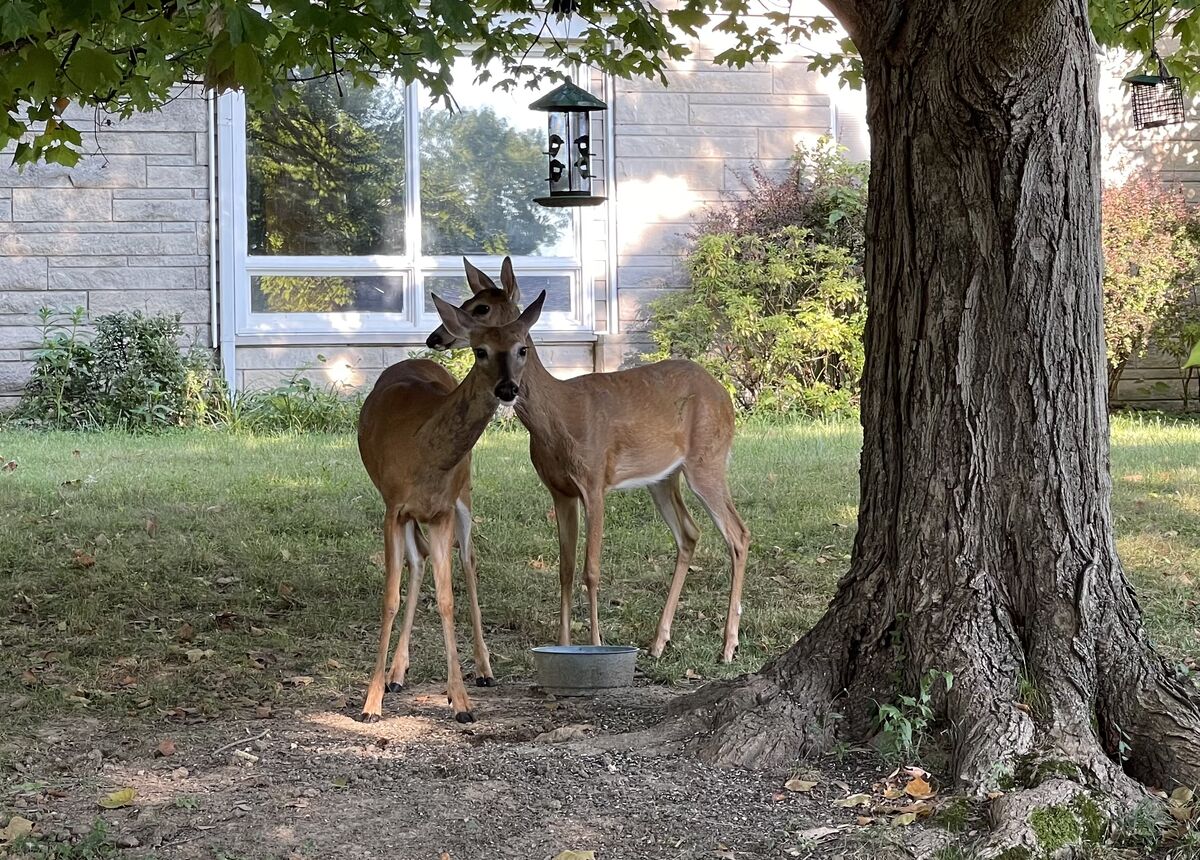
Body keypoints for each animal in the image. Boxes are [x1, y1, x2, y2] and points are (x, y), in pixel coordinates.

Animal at [357, 286, 546, 723]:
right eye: (480, 351)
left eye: (522, 348)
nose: (508, 389)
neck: (424, 449)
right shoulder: (394, 507)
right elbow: (390, 597)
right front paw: (371, 702)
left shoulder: (442, 510)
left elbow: (446, 599)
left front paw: (460, 701)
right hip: (403, 507)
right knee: (419, 559)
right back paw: (395, 674)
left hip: (465, 494)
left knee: (467, 559)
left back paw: (483, 669)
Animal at [426, 258, 750, 663]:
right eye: (468, 302)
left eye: (481, 308)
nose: (436, 337)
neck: (560, 414)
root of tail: (724, 394)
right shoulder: (559, 490)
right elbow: (564, 569)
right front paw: (564, 642)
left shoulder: (595, 481)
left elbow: (591, 569)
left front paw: (596, 643)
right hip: (663, 477)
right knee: (690, 533)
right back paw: (659, 641)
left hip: (707, 459)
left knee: (738, 534)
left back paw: (729, 645)